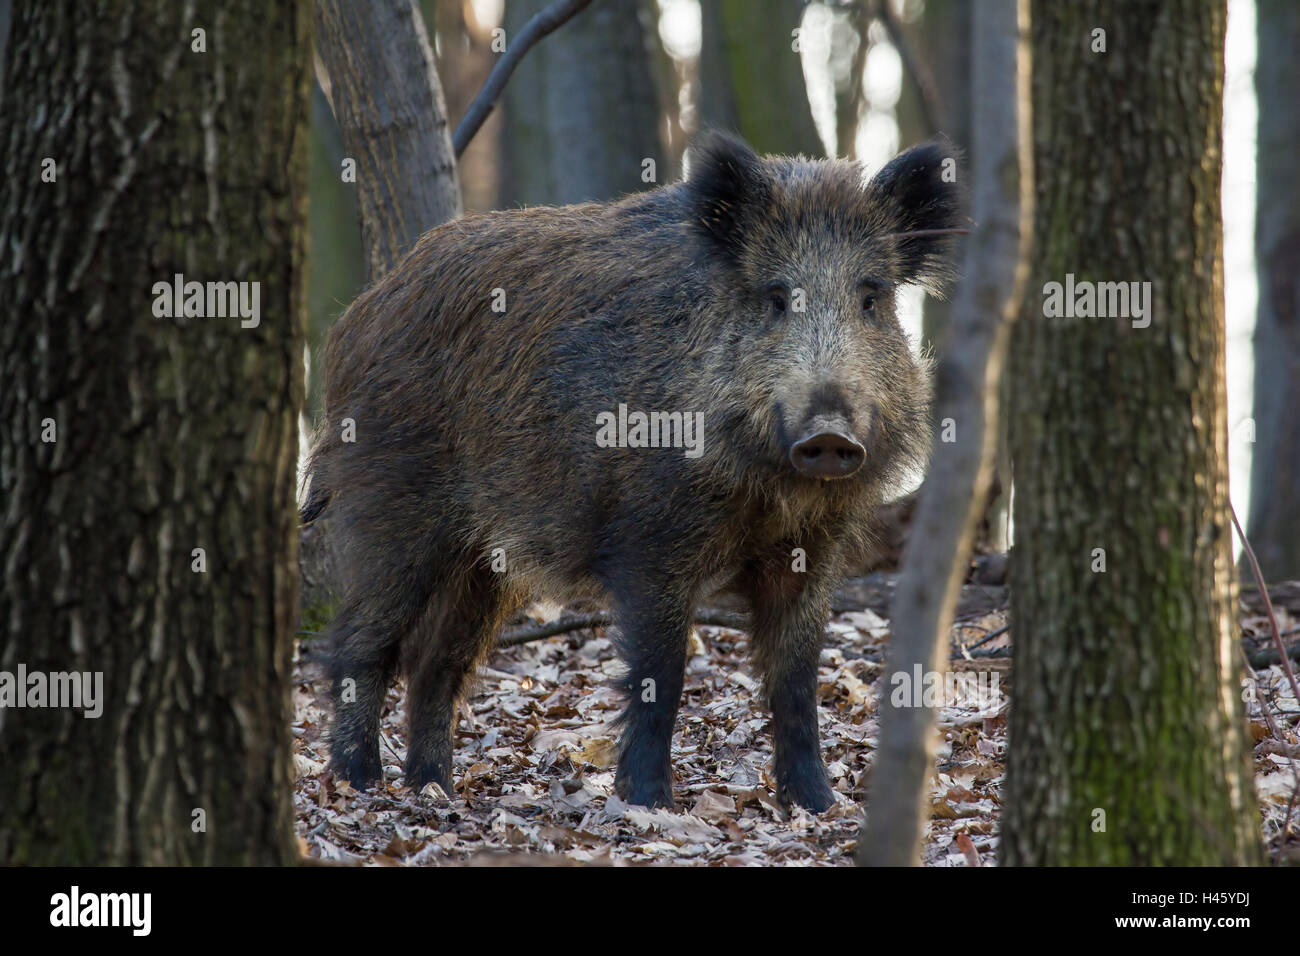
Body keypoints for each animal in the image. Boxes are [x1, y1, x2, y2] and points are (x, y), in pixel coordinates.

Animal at [301, 131, 961, 811]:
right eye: (776, 298)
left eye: (871, 298)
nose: (829, 435)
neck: (767, 490)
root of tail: (362, 313)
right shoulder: (650, 539)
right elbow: (660, 671)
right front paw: (648, 801)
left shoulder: (814, 546)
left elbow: (797, 677)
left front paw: (818, 805)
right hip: (393, 510)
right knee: (360, 645)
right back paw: (359, 783)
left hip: (485, 560)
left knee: (438, 664)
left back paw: (436, 789)